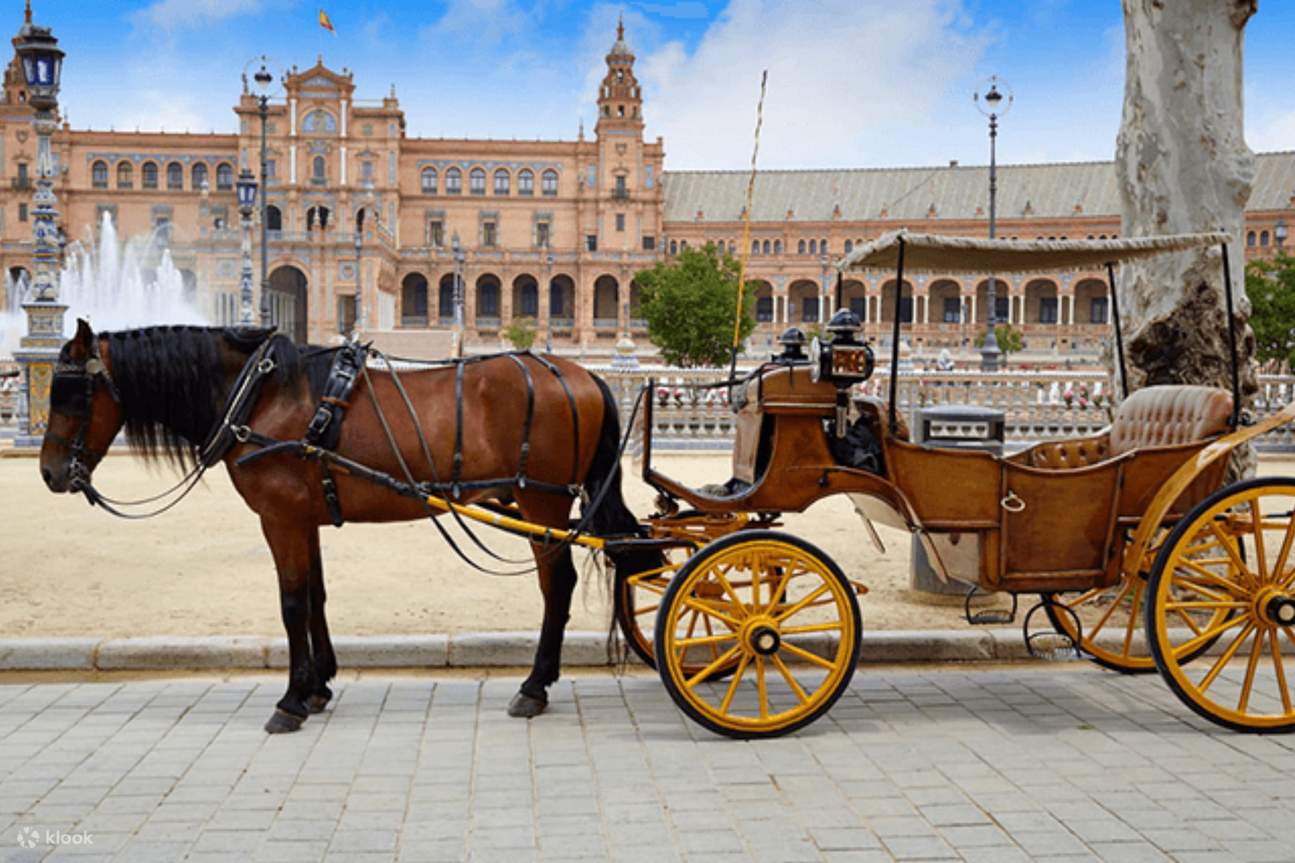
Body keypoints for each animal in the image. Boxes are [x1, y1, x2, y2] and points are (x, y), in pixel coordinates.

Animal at [39, 319, 661, 733]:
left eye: (72, 394)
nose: (50, 472)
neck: (259, 396)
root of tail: (580, 372)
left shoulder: (280, 518)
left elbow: (291, 603)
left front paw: (291, 701)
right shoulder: (304, 517)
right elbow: (314, 596)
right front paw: (318, 687)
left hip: (542, 505)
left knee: (557, 587)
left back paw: (534, 687)